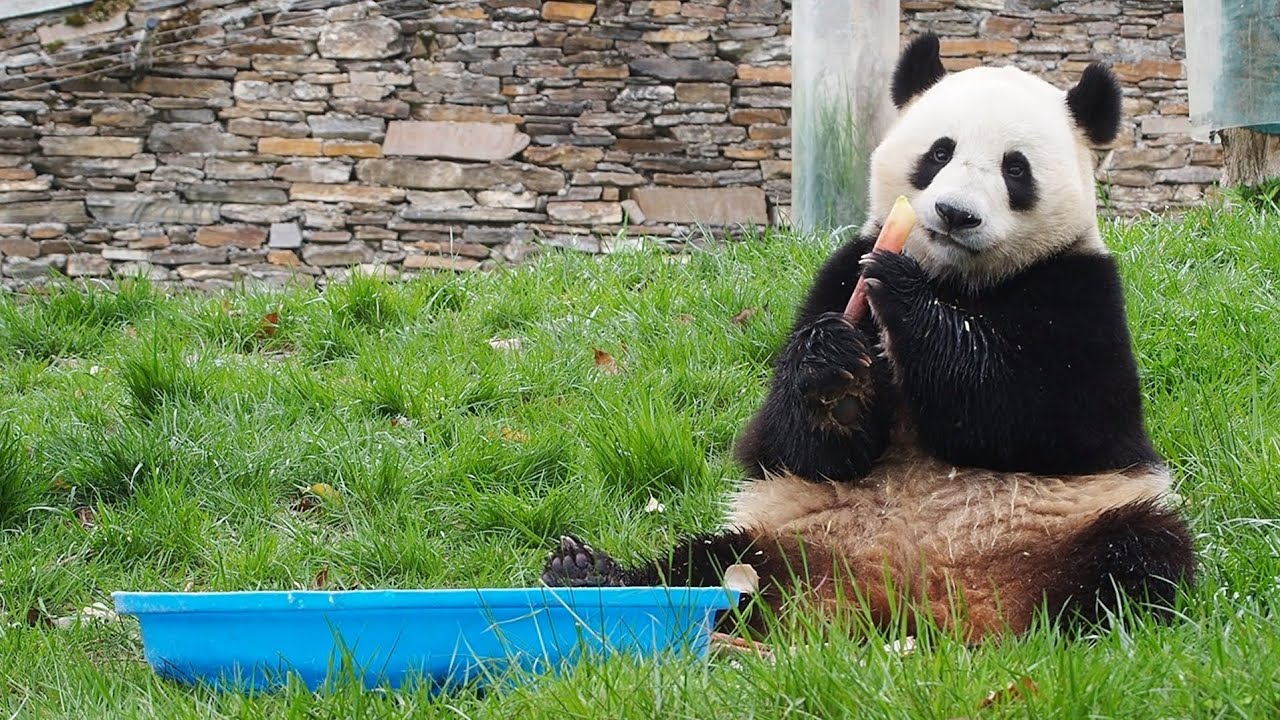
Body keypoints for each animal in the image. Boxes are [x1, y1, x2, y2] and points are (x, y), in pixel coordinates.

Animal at [540, 34, 1197, 643]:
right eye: (940, 152)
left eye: (1016, 168)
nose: (955, 214)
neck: (957, 279)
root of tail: (899, 604)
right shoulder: (837, 272)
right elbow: (799, 443)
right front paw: (831, 369)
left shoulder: (1084, 291)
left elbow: (1041, 414)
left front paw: (905, 299)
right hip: (790, 535)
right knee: (706, 566)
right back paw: (587, 573)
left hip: (1076, 523)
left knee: (1137, 557)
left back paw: (1092, 631)